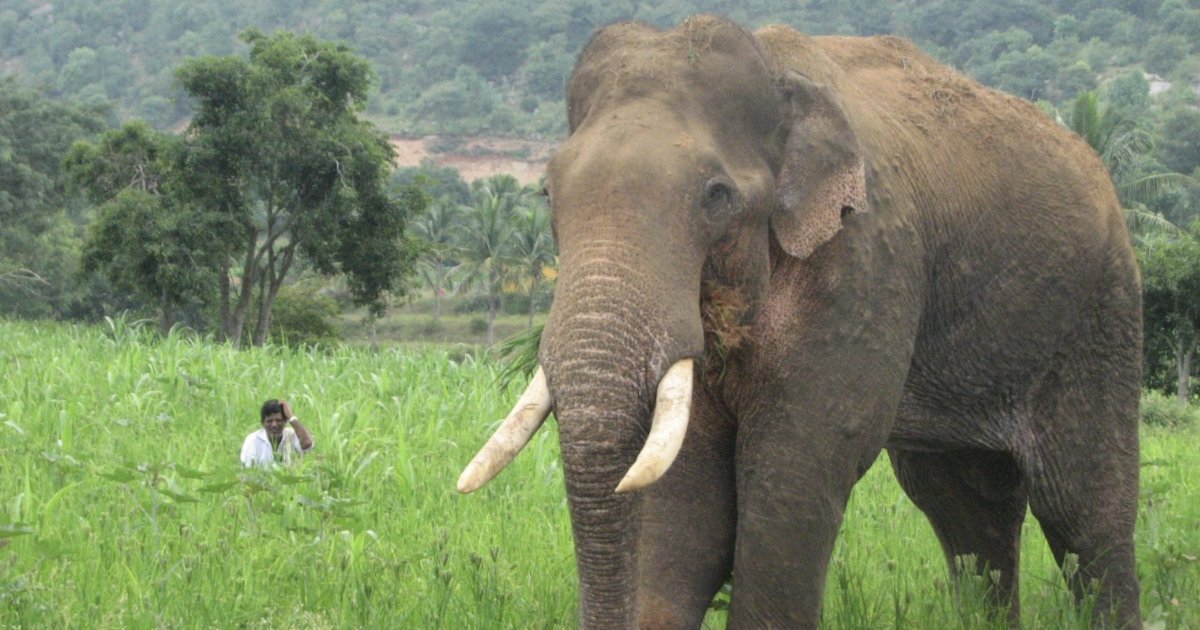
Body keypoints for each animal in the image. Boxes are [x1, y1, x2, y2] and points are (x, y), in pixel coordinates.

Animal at [458, 15, 1143, 629]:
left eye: (716, 196)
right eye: (548, 193)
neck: (777, 79)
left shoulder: (865, 260)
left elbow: (801, 459)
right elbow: (688, 491)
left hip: (1098, 313)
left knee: (1082, 505)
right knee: (963, 501)